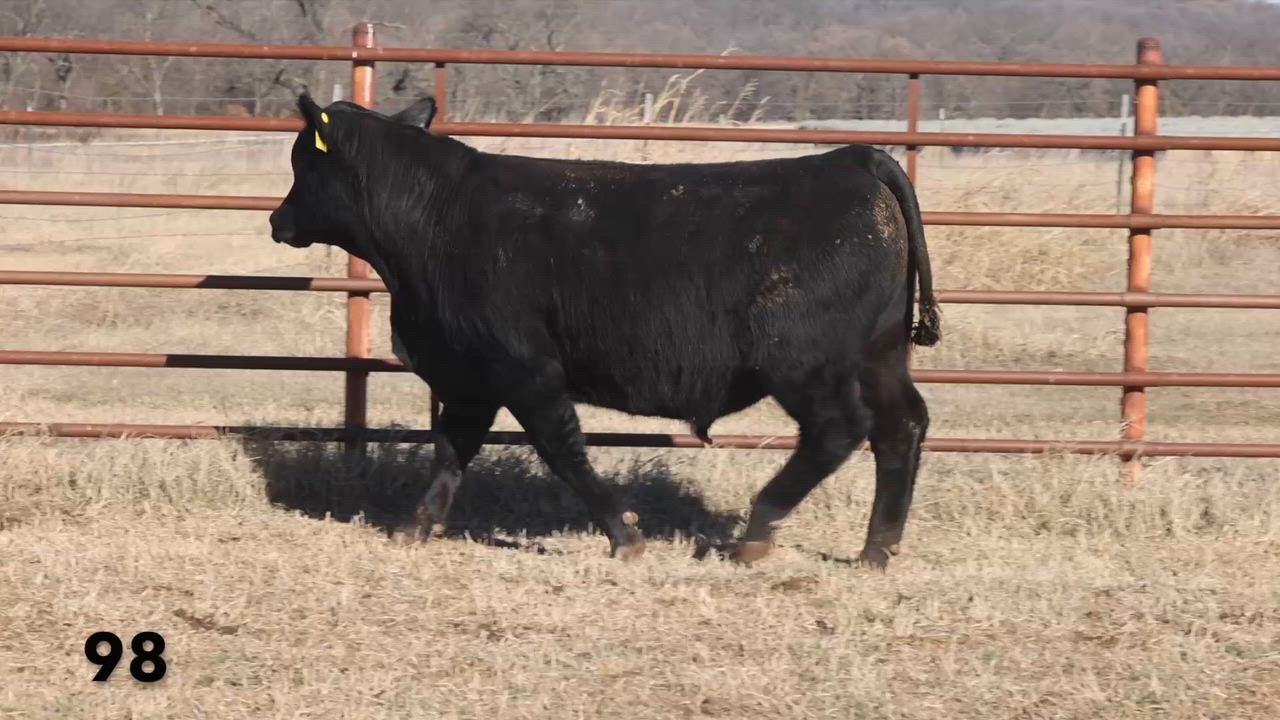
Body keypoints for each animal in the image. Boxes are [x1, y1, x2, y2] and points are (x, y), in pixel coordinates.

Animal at [268, 93, 940, 568]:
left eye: (303, 161)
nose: (278, 219)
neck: (437, 215)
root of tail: (851, 159)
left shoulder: (526, 370)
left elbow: (563, 450)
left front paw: (623, 535)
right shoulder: (471, 377)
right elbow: (451, 451)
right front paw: (415, 526)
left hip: (807, 365)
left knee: (838, 429)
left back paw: (756, 532)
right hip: (879, 354)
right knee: (901, 426)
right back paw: (876, 550)